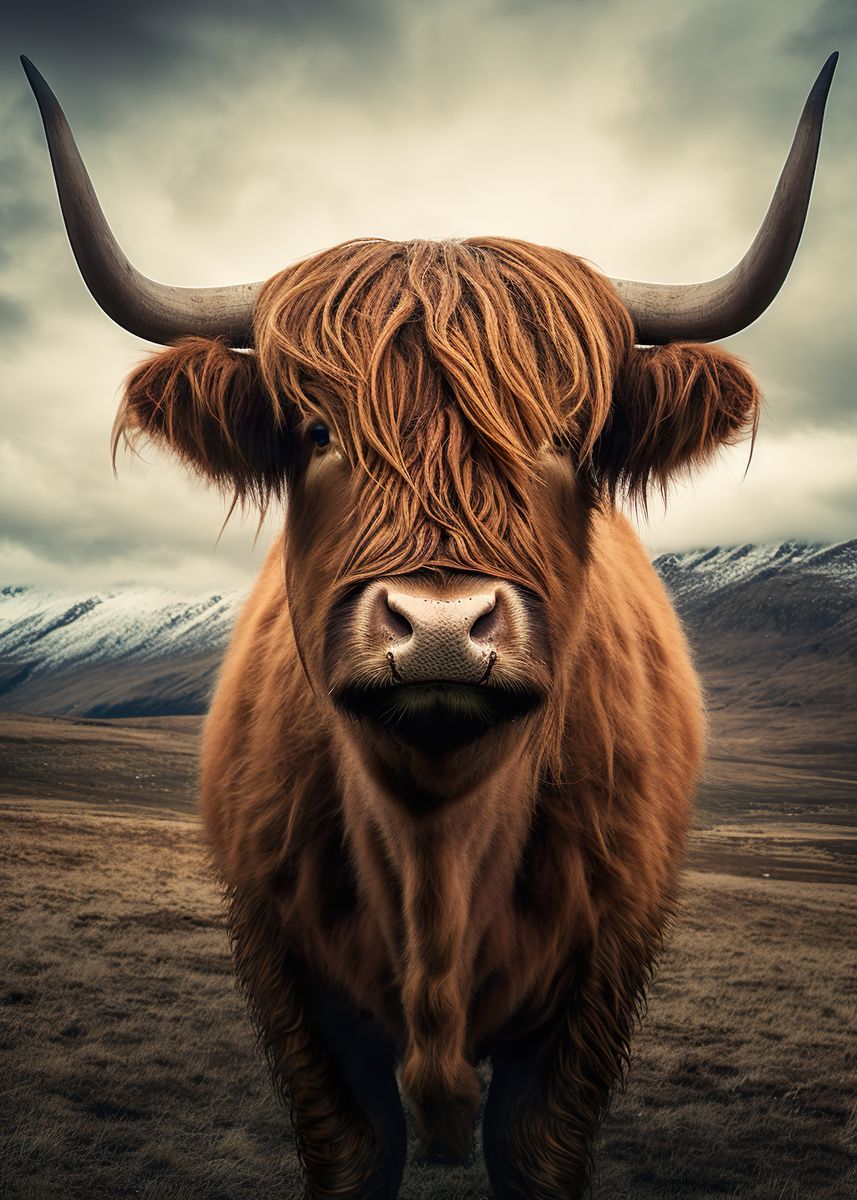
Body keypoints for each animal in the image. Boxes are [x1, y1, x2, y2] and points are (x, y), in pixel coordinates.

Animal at [24, 53, 837, 1200]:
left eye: (564, 436)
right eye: (316, 431)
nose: (443, 627)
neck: (434, 844)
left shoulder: (597, 982)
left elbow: (532, 1150)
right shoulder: (294, 986)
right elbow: (356, 1151)